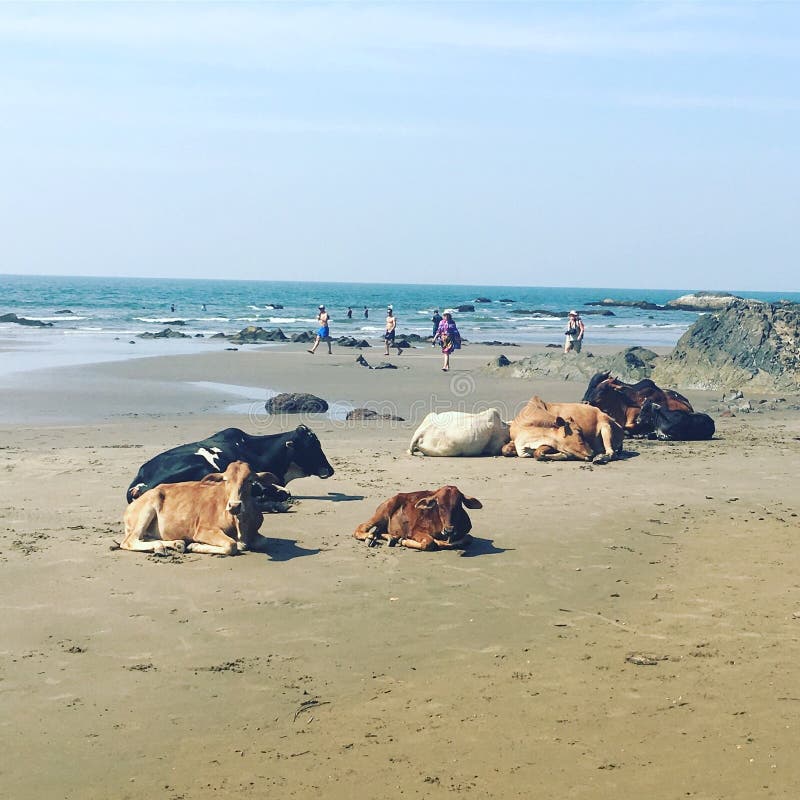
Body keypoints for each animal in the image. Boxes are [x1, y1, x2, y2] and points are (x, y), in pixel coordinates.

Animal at [119, 461, 270, 556]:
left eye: (250, 480)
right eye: (225, 480)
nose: (234, 505)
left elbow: (263, 541)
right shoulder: (203, 530)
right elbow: (231, 545)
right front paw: (195, 545)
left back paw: (177, 544)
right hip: (149, 505)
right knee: (129, 541)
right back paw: (161, 547)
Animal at [353, 485, 482, 551]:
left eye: (458, 505)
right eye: (439, 505)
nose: (449, 530)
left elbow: (468, 539)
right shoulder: (414, 531)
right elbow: (429, 543)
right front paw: (404, 541)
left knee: (380, 531)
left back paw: (392, 538)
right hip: (382, 514)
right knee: (361, 528)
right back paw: (370, 537)